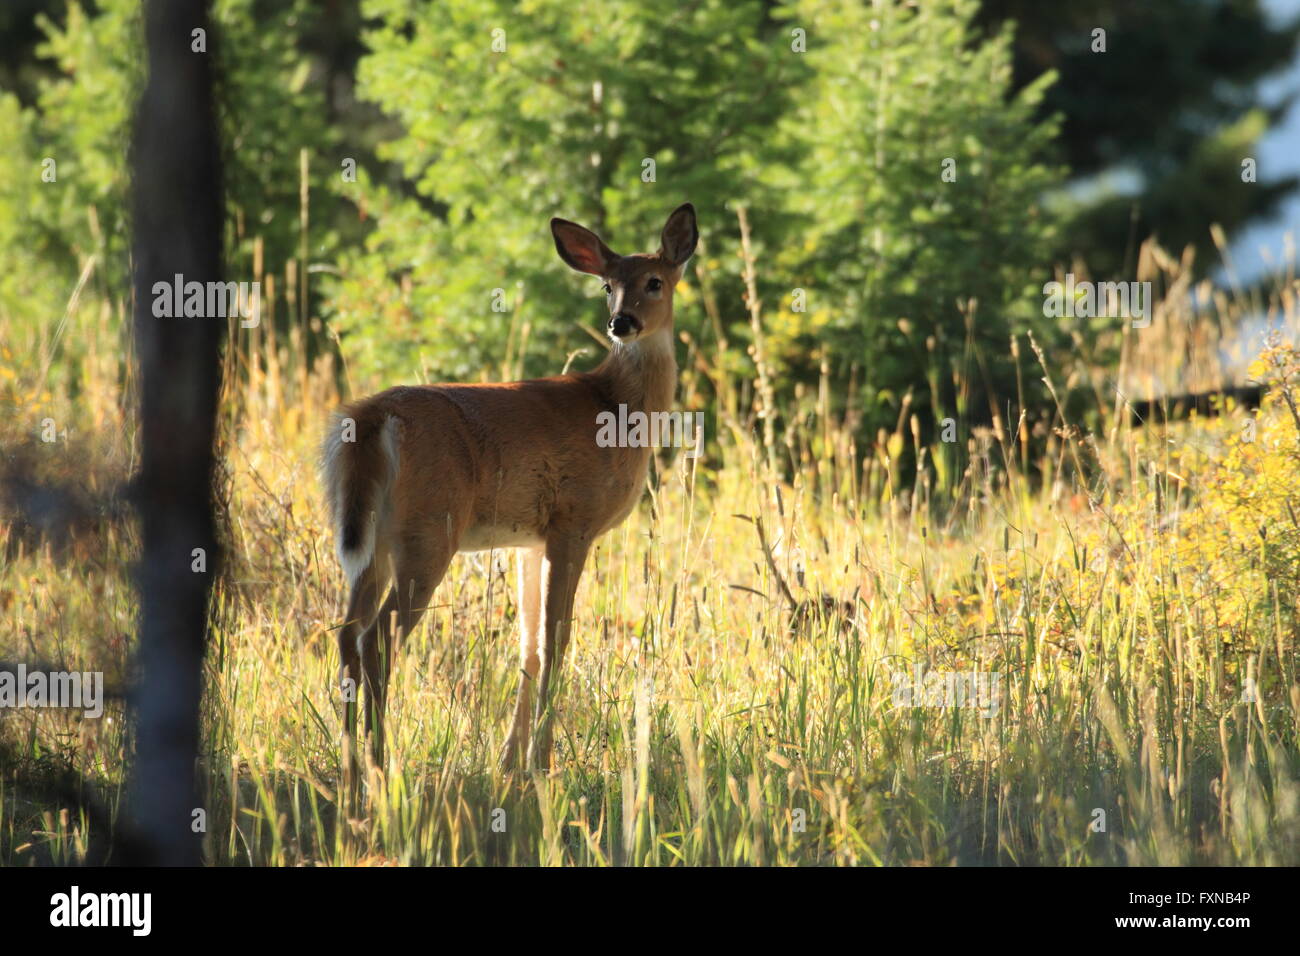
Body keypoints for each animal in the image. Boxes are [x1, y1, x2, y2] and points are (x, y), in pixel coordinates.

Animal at [322, 202, 698, 783]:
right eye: (608, 286)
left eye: (654, 281)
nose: (621, 323)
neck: (615, 408)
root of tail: (369, 417)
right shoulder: (574, 521)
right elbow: (557, 639)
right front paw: (543, 762)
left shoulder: (530, 538)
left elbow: (530, 645)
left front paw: (510, 762)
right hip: (429, 530)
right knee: (377, 638)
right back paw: (382, 763)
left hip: (369, 539)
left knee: (346, 633)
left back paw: (349, 763)